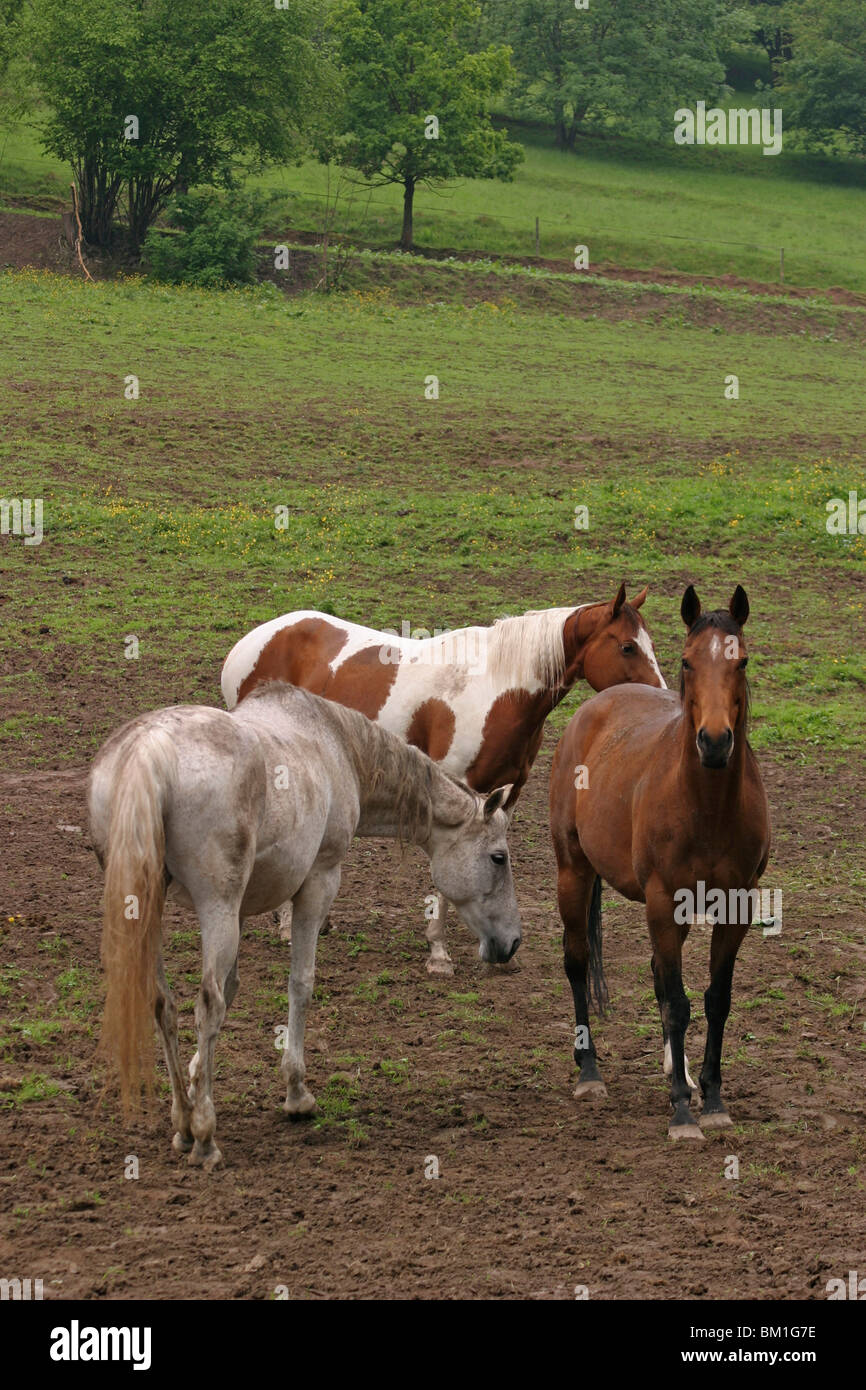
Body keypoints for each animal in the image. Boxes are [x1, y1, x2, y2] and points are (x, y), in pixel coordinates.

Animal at [89, 682, 521, 1170]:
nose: (511, 942)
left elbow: (234, 986)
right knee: (207, 1005)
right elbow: (299, 983)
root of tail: (152, 749)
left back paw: (183, 1121)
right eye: (498, 858)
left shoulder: (243, 909)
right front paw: (296, 1093)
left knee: (164, 1003)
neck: (336, 746)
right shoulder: (317, 883)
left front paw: (199, 1074)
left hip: (150, 908)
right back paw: (204, 1135)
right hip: (215, 906)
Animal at [221, 584, 665, 974]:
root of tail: (251, 641)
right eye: (627, 646)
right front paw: (438, 953)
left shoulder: (508, 797)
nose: (661, 697)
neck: (499, 691)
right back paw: (284, 924)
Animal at [549, 586, 770, 1140]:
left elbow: (715, 1000)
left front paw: (710, 1096)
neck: (707, 803)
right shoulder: (660, 901)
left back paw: (681, 1072)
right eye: (688, 661)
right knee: (577, 960)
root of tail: (595, 705)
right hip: (573, 871)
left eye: (743, 661)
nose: (714, 742)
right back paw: (589, 1071)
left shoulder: (735, 904)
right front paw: (683, 1113)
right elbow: (676, 1002)